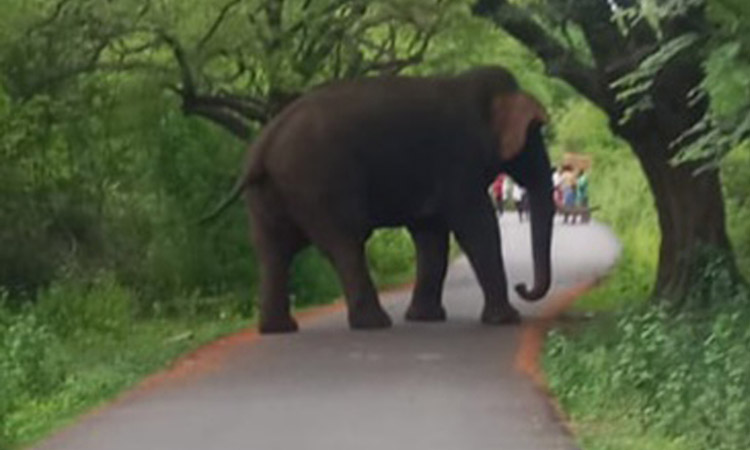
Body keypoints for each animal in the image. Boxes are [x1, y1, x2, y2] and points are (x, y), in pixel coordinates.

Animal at [204, 66, 555, 334]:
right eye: (535, 135)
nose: (523, 287)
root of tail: (264, 143)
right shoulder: (459, 161)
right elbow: (477, 226)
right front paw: (506, 320)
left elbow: (431, 236)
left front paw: (425, 319)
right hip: (318, 183)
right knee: (344, 244)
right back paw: (374, 323)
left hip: (269, 193)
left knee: (273, 251)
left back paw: (278, 329)